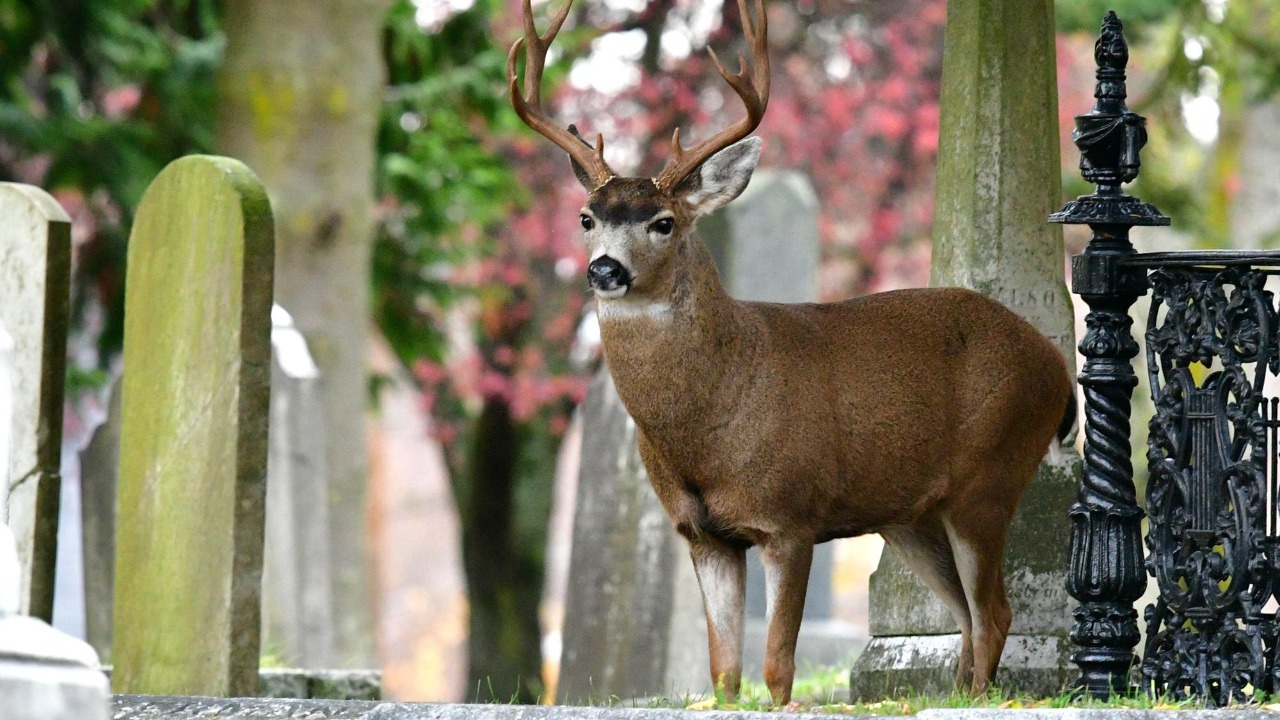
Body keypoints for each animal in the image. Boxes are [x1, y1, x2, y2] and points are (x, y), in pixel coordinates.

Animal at [509, 0, 1075, 705]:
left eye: (663, 222)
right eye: (587, 217)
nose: (604, 269)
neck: (710, 420)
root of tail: (1059, 370)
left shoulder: (792, 514)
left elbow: (778, 666)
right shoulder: (704, 533)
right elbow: (725, 671)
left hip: (990, 475)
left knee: (995, 612)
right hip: (912, 515)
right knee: (969, 618)